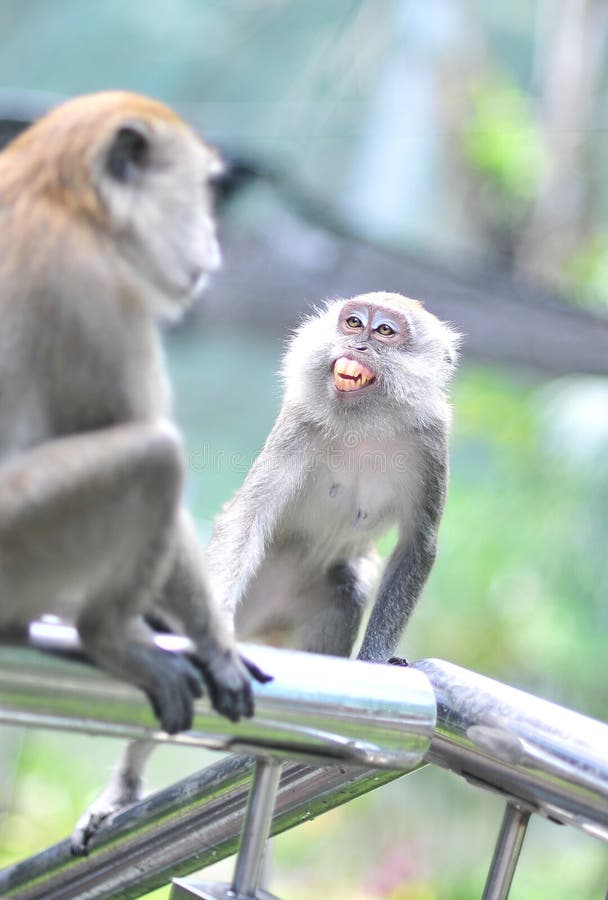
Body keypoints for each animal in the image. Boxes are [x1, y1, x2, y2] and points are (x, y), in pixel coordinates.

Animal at [0, 91, 269, 752]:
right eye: (200, 194)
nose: (214, 246)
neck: (58, 195)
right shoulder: (97, 291)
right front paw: (217, 646)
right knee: (154, 459)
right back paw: (106, 637)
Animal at [72, 291, 459, 853]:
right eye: (353, 322)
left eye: (385, 332)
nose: (357, 344)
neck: (366, 423)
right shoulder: (300, 424)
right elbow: (248, 516)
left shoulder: (431, 441)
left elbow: (417, 546)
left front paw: (375, 661)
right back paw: (122, 788)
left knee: (344, 588)